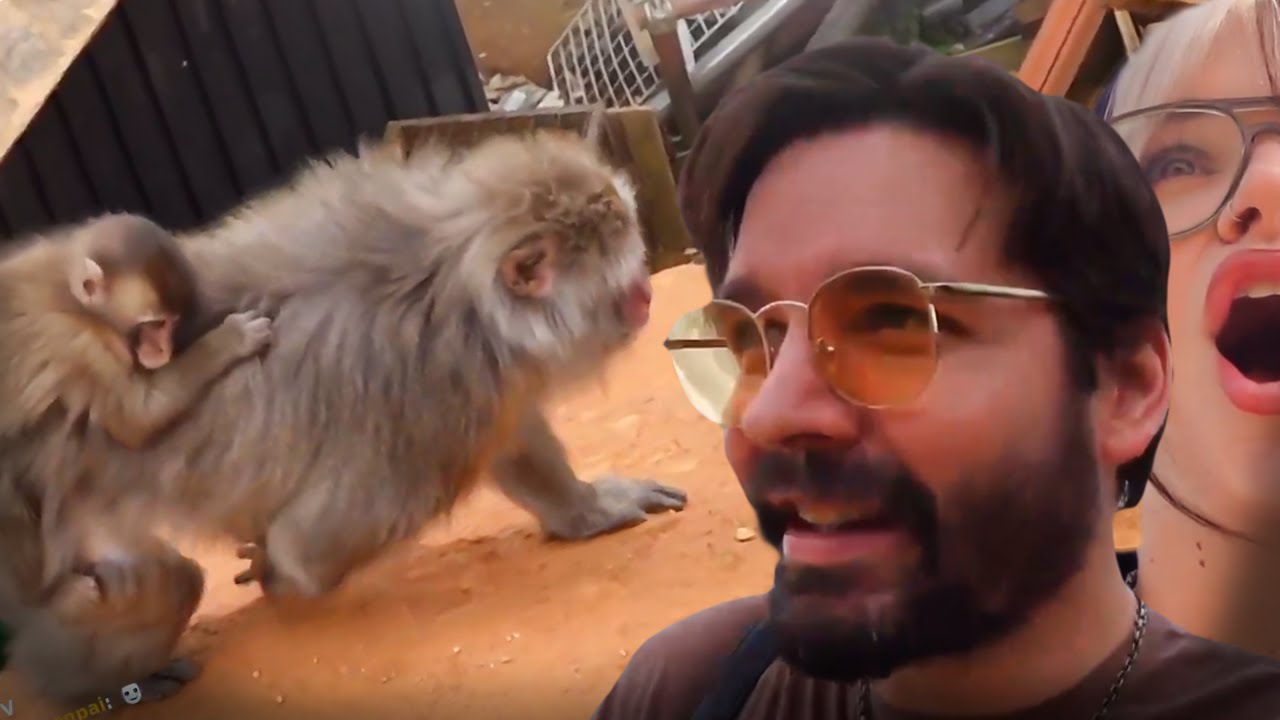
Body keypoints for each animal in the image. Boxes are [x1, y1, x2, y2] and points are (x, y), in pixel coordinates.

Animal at [10, 119, 687, 705]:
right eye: (624, 271)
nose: (647, 295)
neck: (457, 288)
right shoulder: (432, 402)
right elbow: (310, 550)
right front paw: (282, 572)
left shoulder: (478, 388)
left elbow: (515, 439)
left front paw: (586, 510)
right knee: (163, 584)